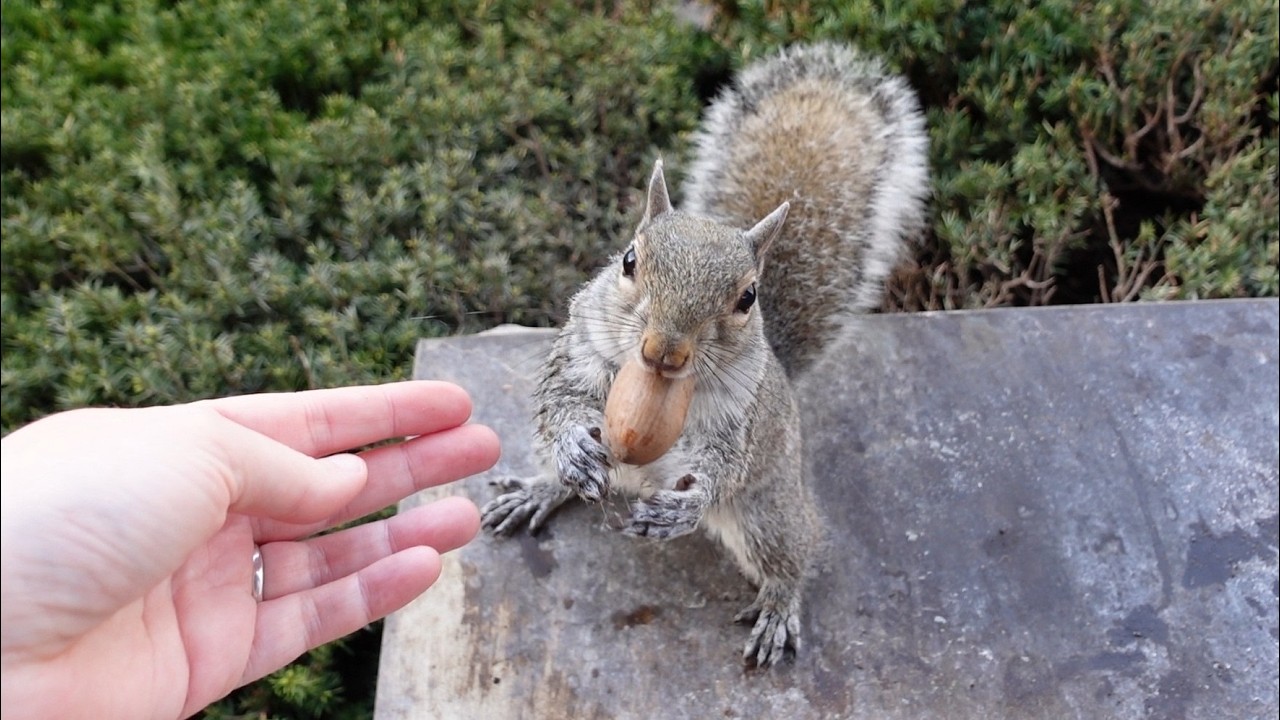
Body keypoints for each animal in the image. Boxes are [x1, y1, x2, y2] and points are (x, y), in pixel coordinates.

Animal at [481, 42, 930, 667]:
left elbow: (720, 467)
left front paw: (686, 507)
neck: (657, 386)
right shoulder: (578, 353)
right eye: (628, 260)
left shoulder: (736, 422)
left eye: (747, 298)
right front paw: (572, 445)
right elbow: (560, 402)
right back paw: (542, 487)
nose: (663, 351)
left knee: (792, 551)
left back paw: (777, 606)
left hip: (768, 511)